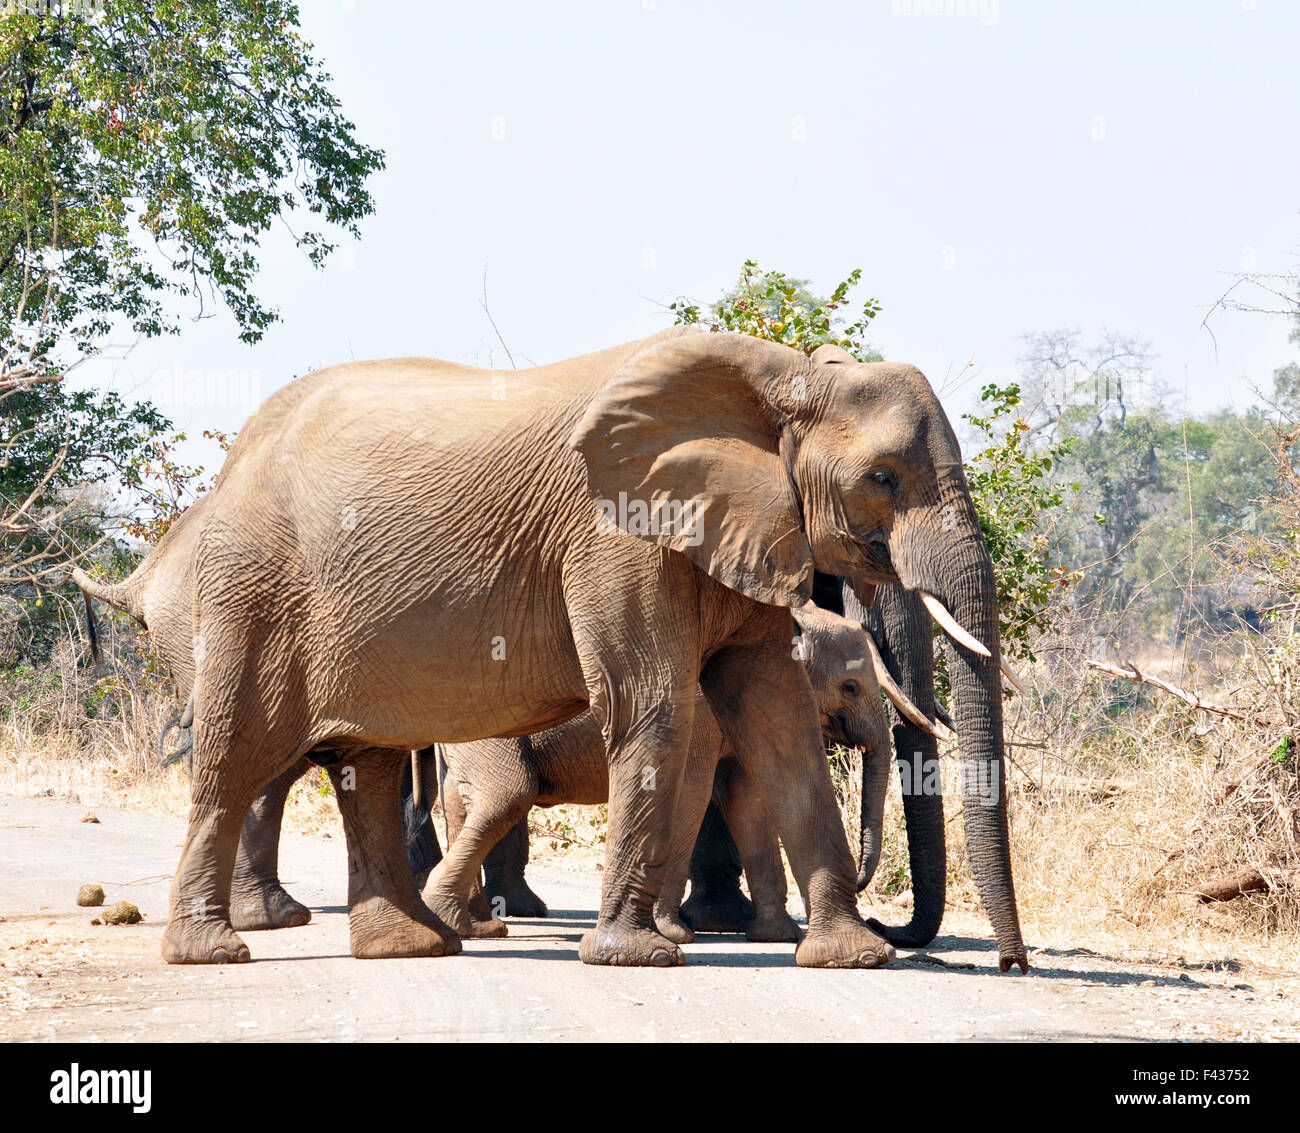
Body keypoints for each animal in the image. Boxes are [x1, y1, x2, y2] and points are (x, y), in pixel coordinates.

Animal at [429, 601, 935, 944]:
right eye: (849, 687)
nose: (874, 910)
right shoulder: (698, 707)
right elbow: (691, 790)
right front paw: (674, 935)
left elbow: (748, 801)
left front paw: (778, 936)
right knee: (507, 795)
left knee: (463, 804)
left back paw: (474, 926)